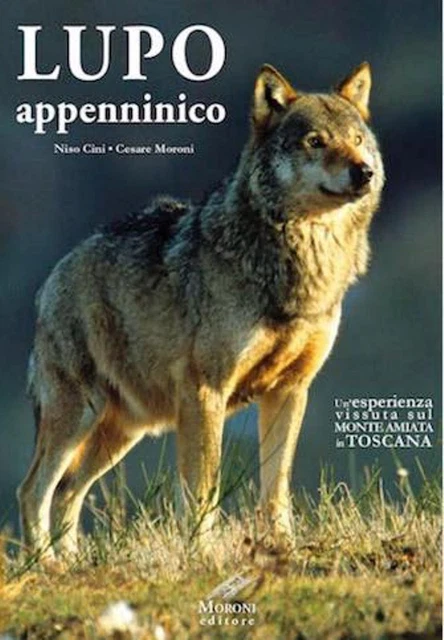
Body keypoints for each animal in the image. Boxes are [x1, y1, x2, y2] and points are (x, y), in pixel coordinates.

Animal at [18, 62, 384, 560]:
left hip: (122, 431)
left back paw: (72, 564)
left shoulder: (290, 390)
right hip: (80, 415)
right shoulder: (206, 391)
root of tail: (53, 274)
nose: (364, 171)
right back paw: (48, 566)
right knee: (34, 490)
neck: (297, 267)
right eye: (315, 141)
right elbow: (203, 487)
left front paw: (281, 547)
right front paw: (202, 554)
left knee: (66, 491)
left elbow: (276, 485)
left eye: (357, 139)